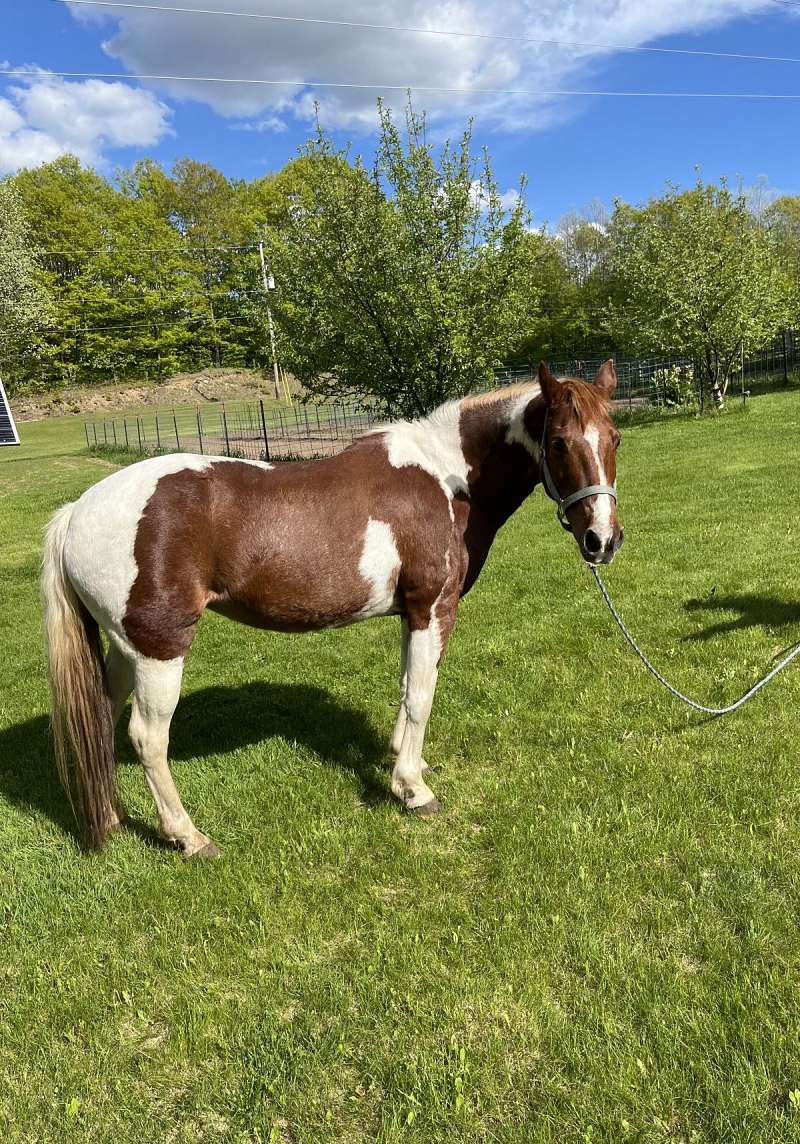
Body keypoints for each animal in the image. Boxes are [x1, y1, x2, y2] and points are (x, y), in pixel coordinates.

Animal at [41, 360, 623, 857]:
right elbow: (421, 697)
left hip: (125, 648)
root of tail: (76, 512)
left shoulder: (413, 614)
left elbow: (408, 687)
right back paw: (189, 836)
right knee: (147, 737)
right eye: (558, 443)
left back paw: (114, 816)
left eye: (614, 438)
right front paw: (413, 789)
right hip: (159, 649)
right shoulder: (432, 608)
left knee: (102, 716)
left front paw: (406, 761)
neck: (447, 478)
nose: (602, 540)